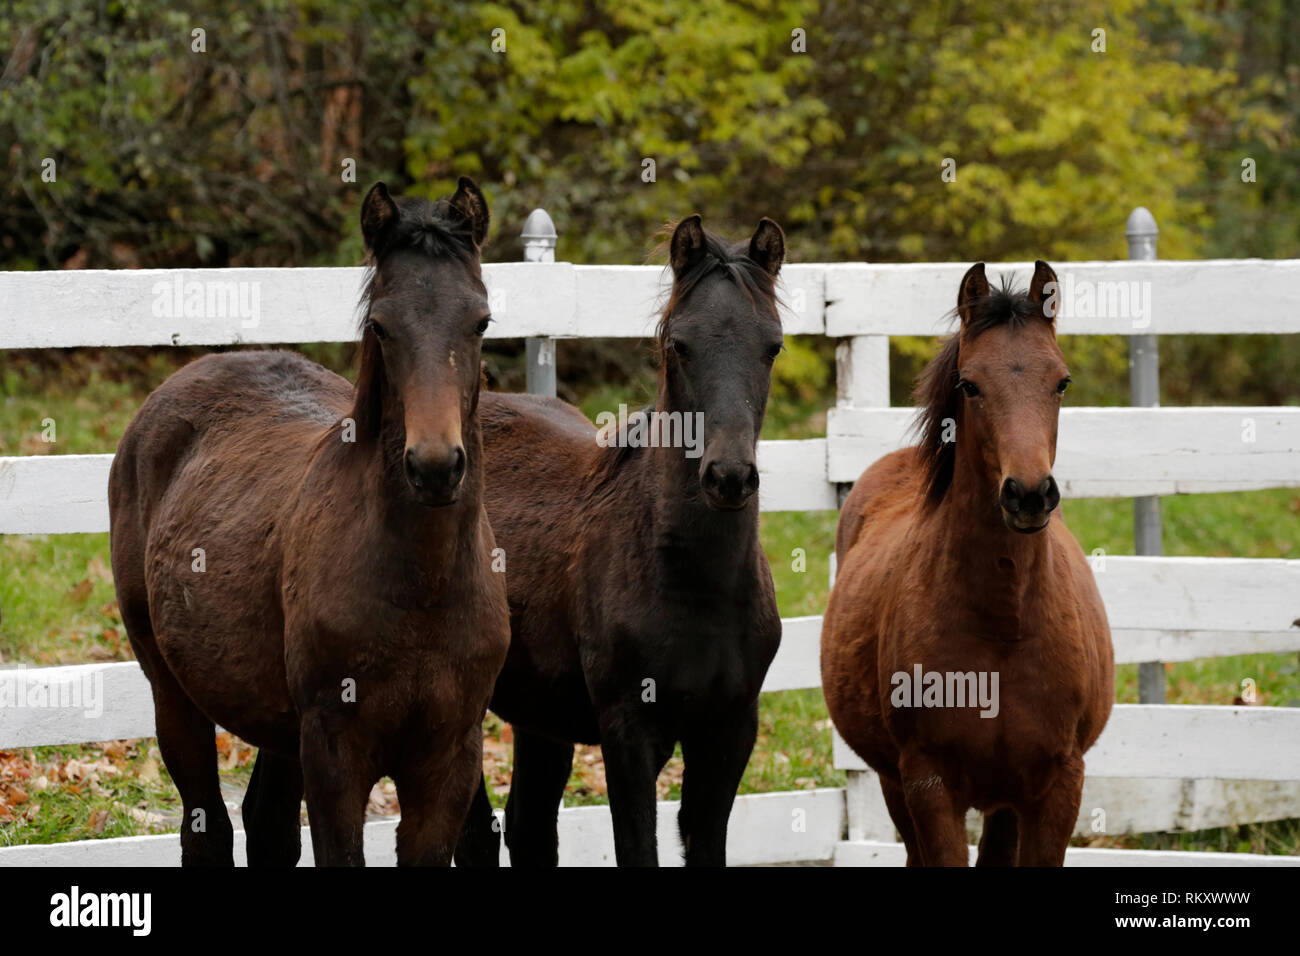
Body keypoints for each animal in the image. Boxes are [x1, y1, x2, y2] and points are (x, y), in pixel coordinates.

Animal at [108, 178, 510, 866]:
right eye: (380, 325)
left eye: (480, 320)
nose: (435, 467)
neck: (422, 588)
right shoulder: (333, 754)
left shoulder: (449, 758)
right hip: (173, 692)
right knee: (207, 826)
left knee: (266, 825)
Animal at [453, 215, 786, 867]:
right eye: (679, 344)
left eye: (773, 345)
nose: (729, 476)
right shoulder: (628, 733)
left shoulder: (730, 730)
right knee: (474, 832)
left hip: (539, 714)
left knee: (529, 825)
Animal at [821, 261, 1113, 866]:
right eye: (970, 384)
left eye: (1062, 382)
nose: (1029, 494)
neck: (1003, 625)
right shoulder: (928, 783)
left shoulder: (1057, 786)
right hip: (894, 784)